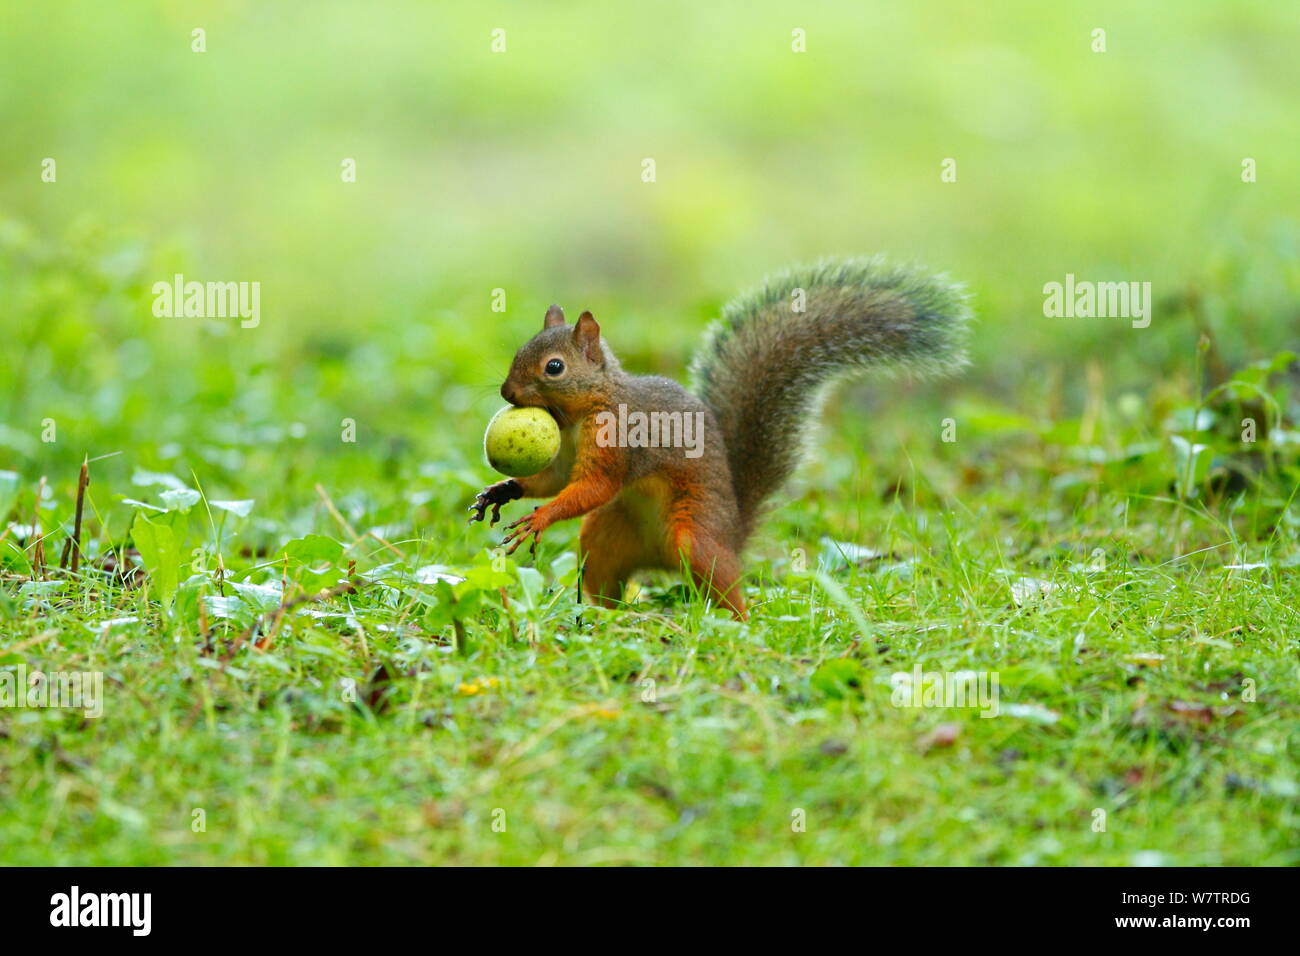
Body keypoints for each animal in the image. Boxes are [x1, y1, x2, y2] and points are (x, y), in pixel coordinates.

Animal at [469, 257, 971, 620]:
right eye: (518, 352)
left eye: (554, 367)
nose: (507, 392)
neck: (581, 413)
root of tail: (735, 530)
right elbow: (554, 479)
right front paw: (503, 491)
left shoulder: (617, 440)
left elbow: (596, 484)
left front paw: (541, 518)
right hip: (606, 536)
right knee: (609, 579)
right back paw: (609, 617)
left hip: (698, 533)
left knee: (725, 583)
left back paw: (736, 622)